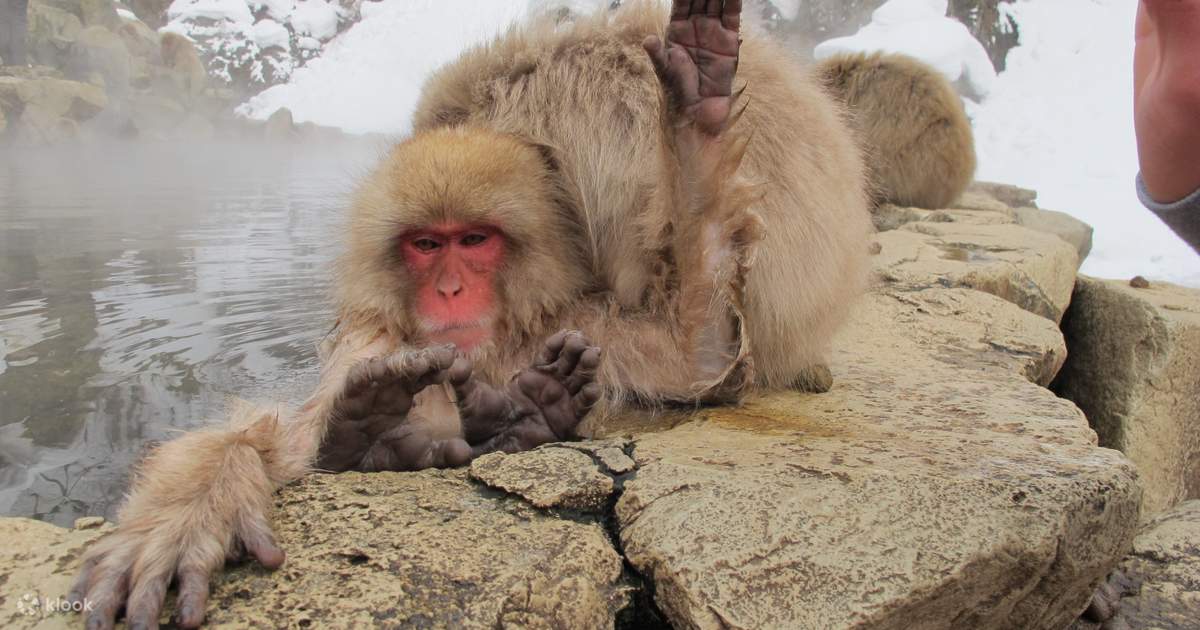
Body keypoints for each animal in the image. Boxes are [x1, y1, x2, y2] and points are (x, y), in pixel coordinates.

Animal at [70, 2, 872, 627]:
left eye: (474, 242)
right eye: (427, 244)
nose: (451, 289)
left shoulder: (586, 325)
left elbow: (698, 351)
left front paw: (696, 102)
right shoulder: (370, 342)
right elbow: (282, 443)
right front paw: (186, 513)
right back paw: (380, 434)